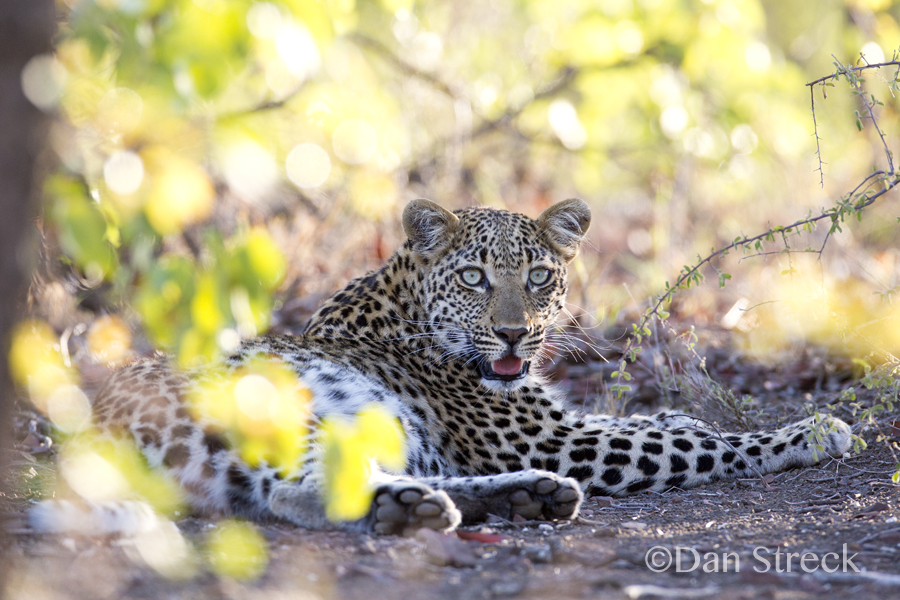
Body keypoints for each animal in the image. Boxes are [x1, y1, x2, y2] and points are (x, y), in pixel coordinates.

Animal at [53, 198, 852, 536]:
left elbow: (662, 422)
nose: (511, 334)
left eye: (538, 276)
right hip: (280, 413)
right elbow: (691, 441)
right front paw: (809, 432)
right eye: (474, 277)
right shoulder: (554, 436)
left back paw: (523, 498)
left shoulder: (553, 428)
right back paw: (416, 510)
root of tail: (95, 434)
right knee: (299, 493)